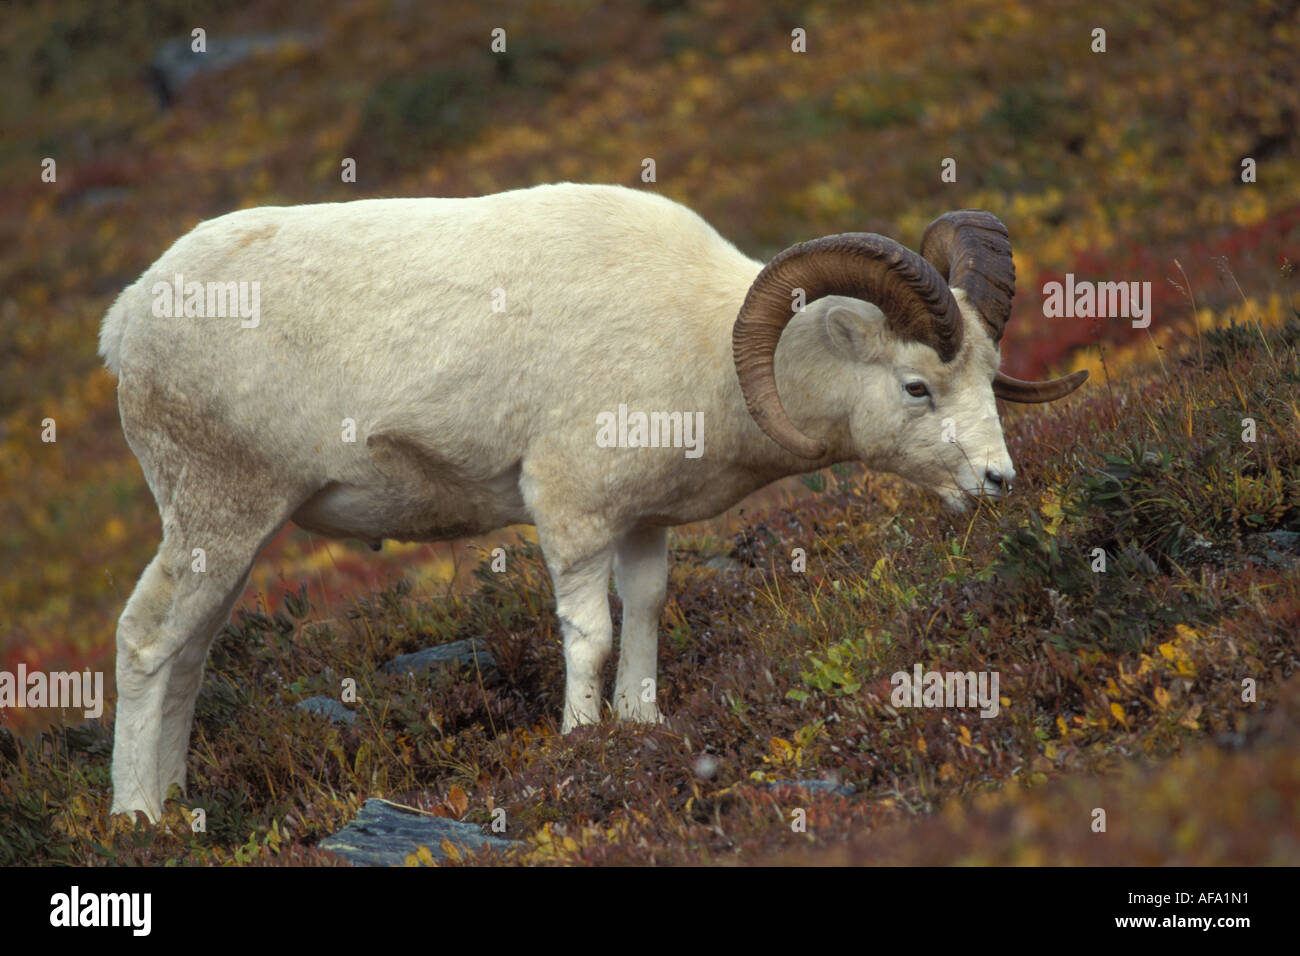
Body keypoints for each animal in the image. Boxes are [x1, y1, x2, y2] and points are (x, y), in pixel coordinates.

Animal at [99, 182, 1086, 821]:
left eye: (990, 373)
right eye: (918, 386)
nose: (996, 483)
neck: (701, 343)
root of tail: (128, 318)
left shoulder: (640, 525)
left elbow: (644, 614)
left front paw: (640, 723)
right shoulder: (570, 515)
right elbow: (591, 637)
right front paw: (581, 742)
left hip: (235, 538)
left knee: (189, 656)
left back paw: (176, 803)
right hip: (216, 514)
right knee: (146, 642)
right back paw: (137, 819)